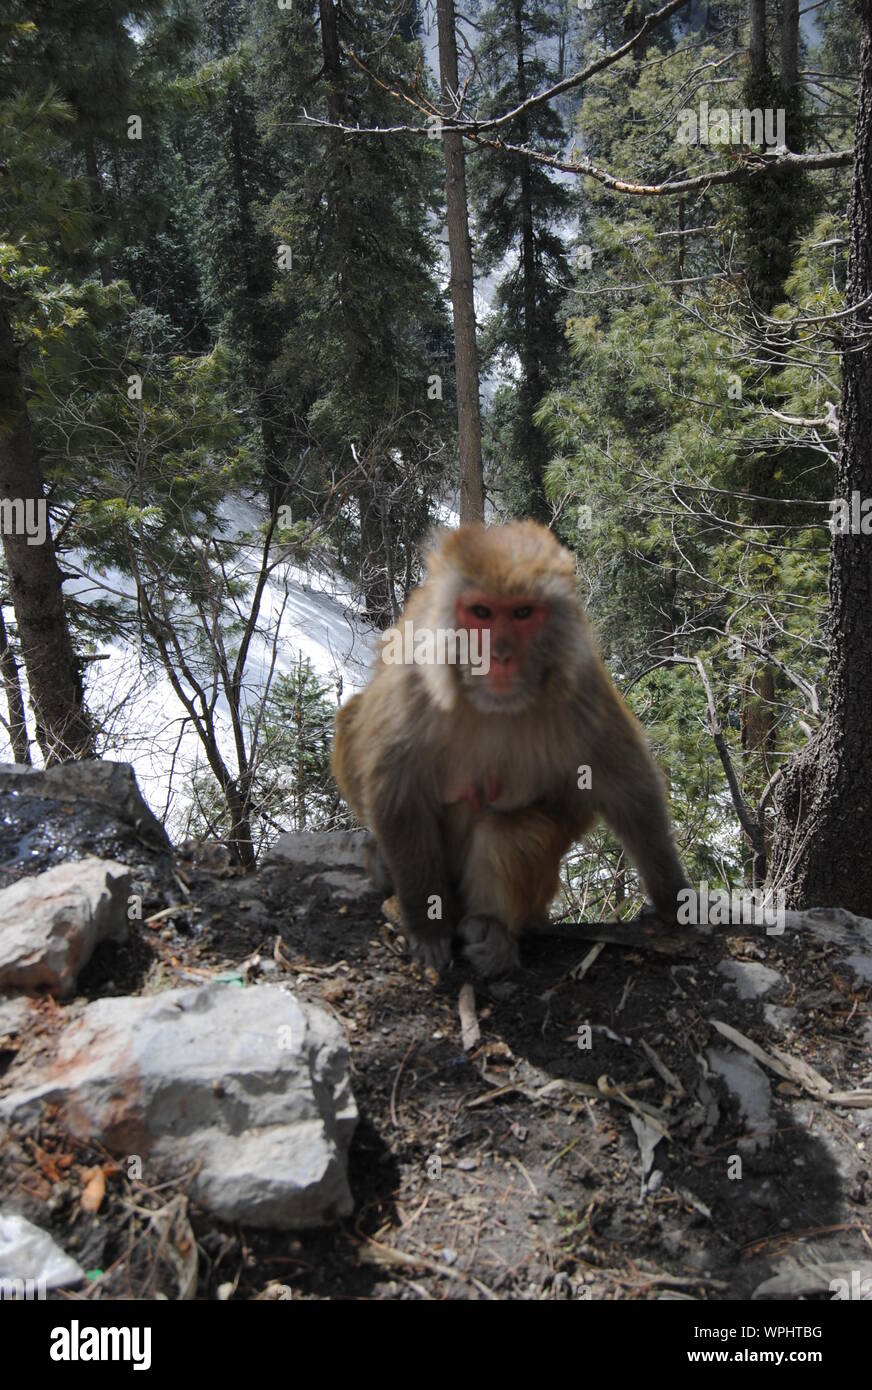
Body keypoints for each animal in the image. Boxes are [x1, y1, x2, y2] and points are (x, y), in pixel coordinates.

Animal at [332, 521, 688, 978]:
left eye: (522, 614)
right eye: (482, 613)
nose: (499, 656)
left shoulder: (580, 682)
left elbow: (628, 787)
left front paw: (673, 899)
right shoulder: (414, 679)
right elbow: (398, 791)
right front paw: (427, 925)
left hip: (540, 889)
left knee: (508, 833)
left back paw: (494, 934)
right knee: (354, 719)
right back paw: (387, 873)